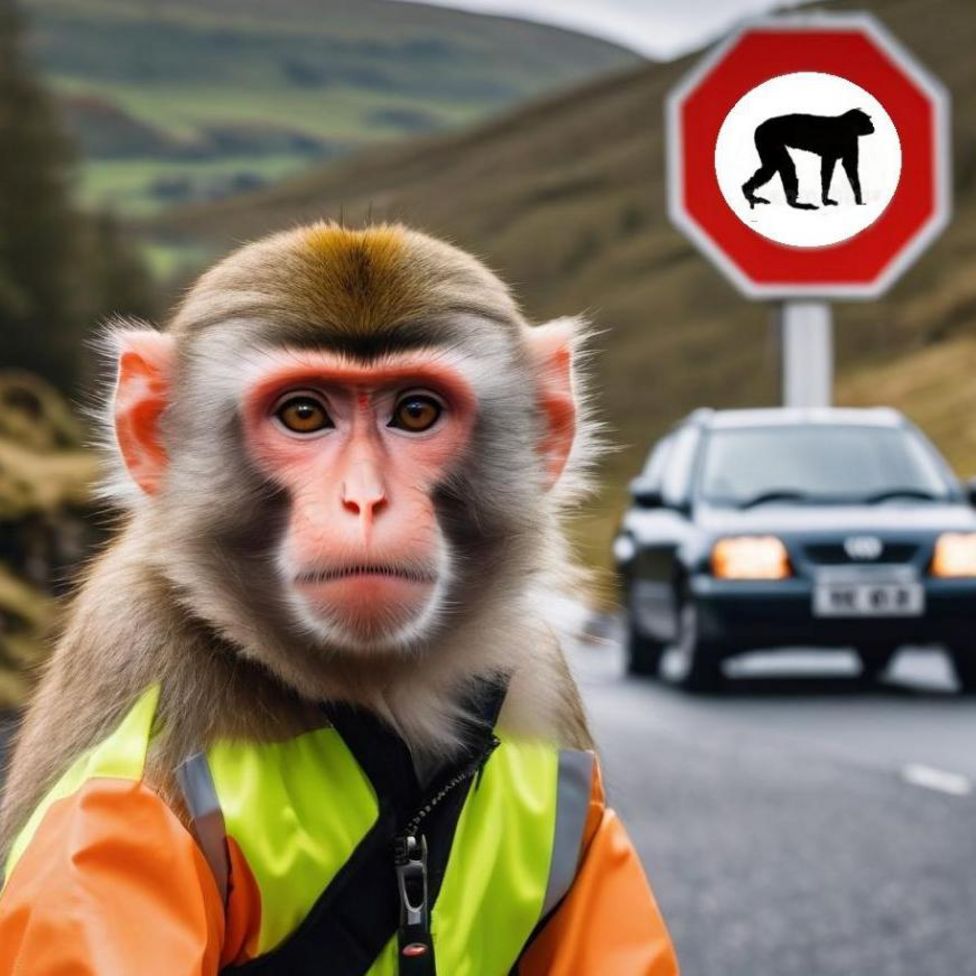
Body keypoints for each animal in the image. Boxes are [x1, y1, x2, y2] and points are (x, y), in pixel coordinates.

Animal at [741, 107, 875, 210]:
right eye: (868, 120)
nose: (873, 126)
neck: (847, 125)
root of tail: (760, 127)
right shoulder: (845, 138)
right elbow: (828, 167)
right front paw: (825, 200)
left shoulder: (852, 139)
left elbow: (849, 166)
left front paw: (859, 201)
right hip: (767, 138)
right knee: (780, 166)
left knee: (775, 166)